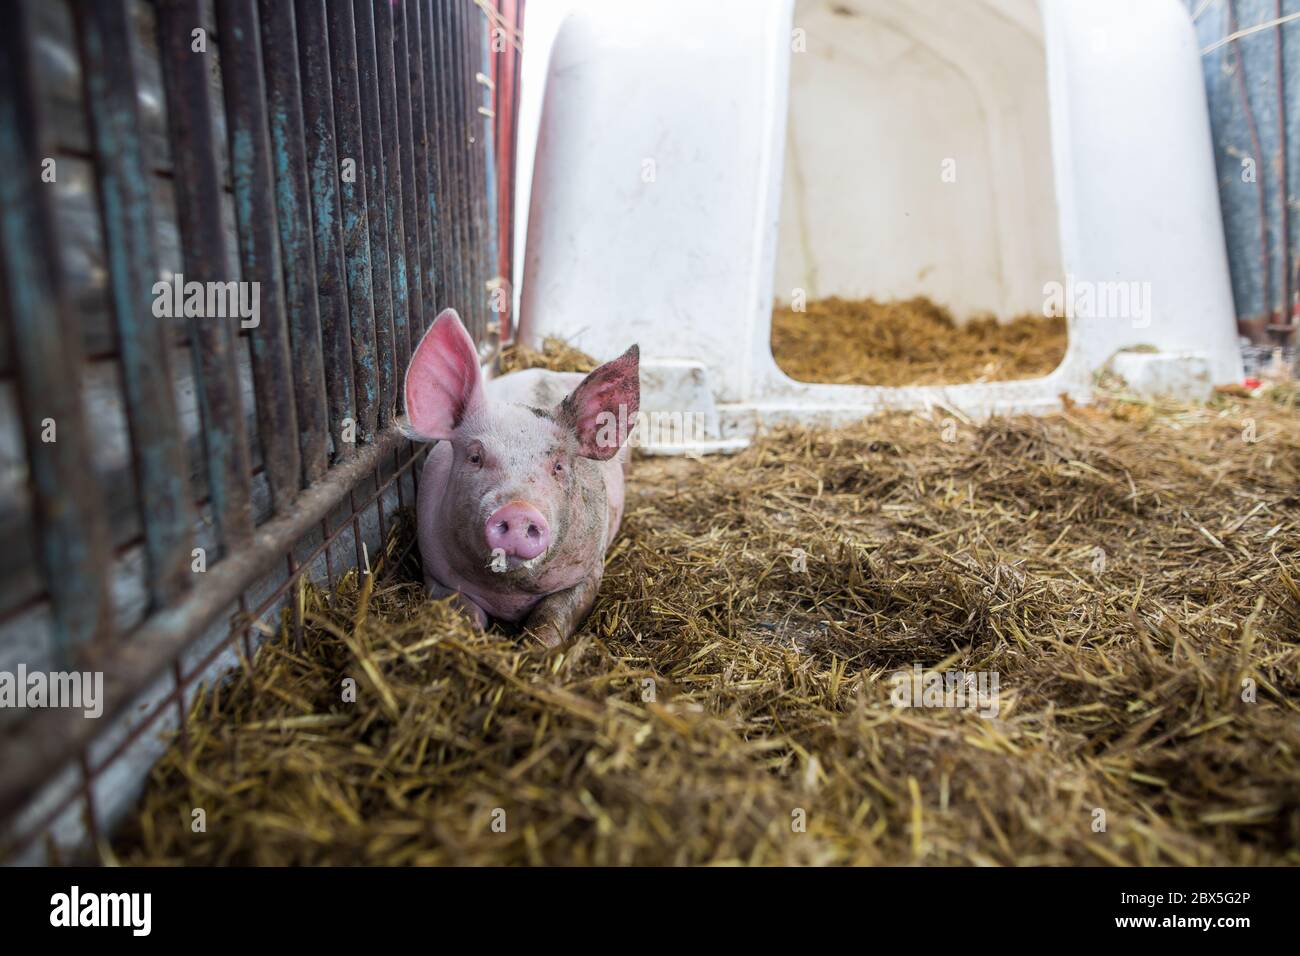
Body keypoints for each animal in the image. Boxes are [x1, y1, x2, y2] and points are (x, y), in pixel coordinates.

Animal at [402, 308, 639, 646]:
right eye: (475, 457)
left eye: (558, 466)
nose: (517, 510)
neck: (509, 594)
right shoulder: (435, 573)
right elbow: (464, 613)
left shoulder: (589, 572)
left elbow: (551, 618)